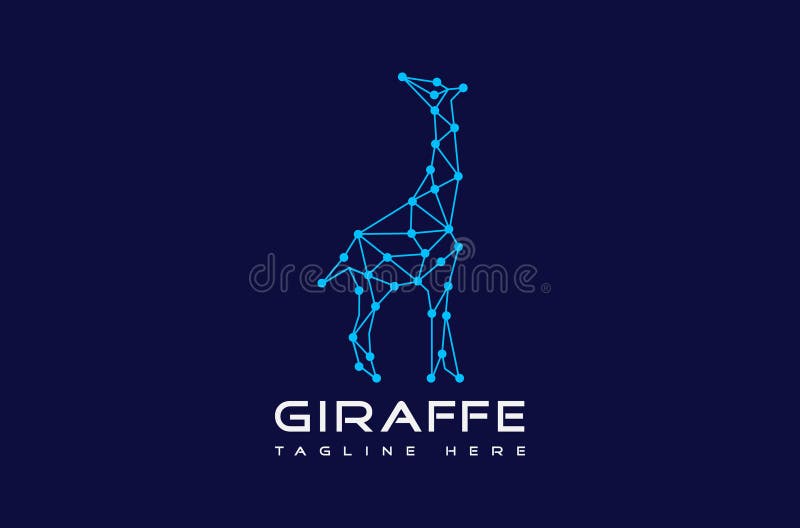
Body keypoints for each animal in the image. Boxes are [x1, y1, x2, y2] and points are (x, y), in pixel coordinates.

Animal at [317, 72, 468, 384]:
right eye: (435, 89)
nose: (457, 89)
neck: (438, 201)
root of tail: (344, 259)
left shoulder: (442, 277)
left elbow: (442, 318)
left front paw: (449, 372)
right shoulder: (436, 278)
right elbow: (437, 316)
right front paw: (436, 373)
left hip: (367, 287)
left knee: (356, 330)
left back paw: (368, 370)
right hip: (376, 284)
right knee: (360, 329)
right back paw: (374, 373)